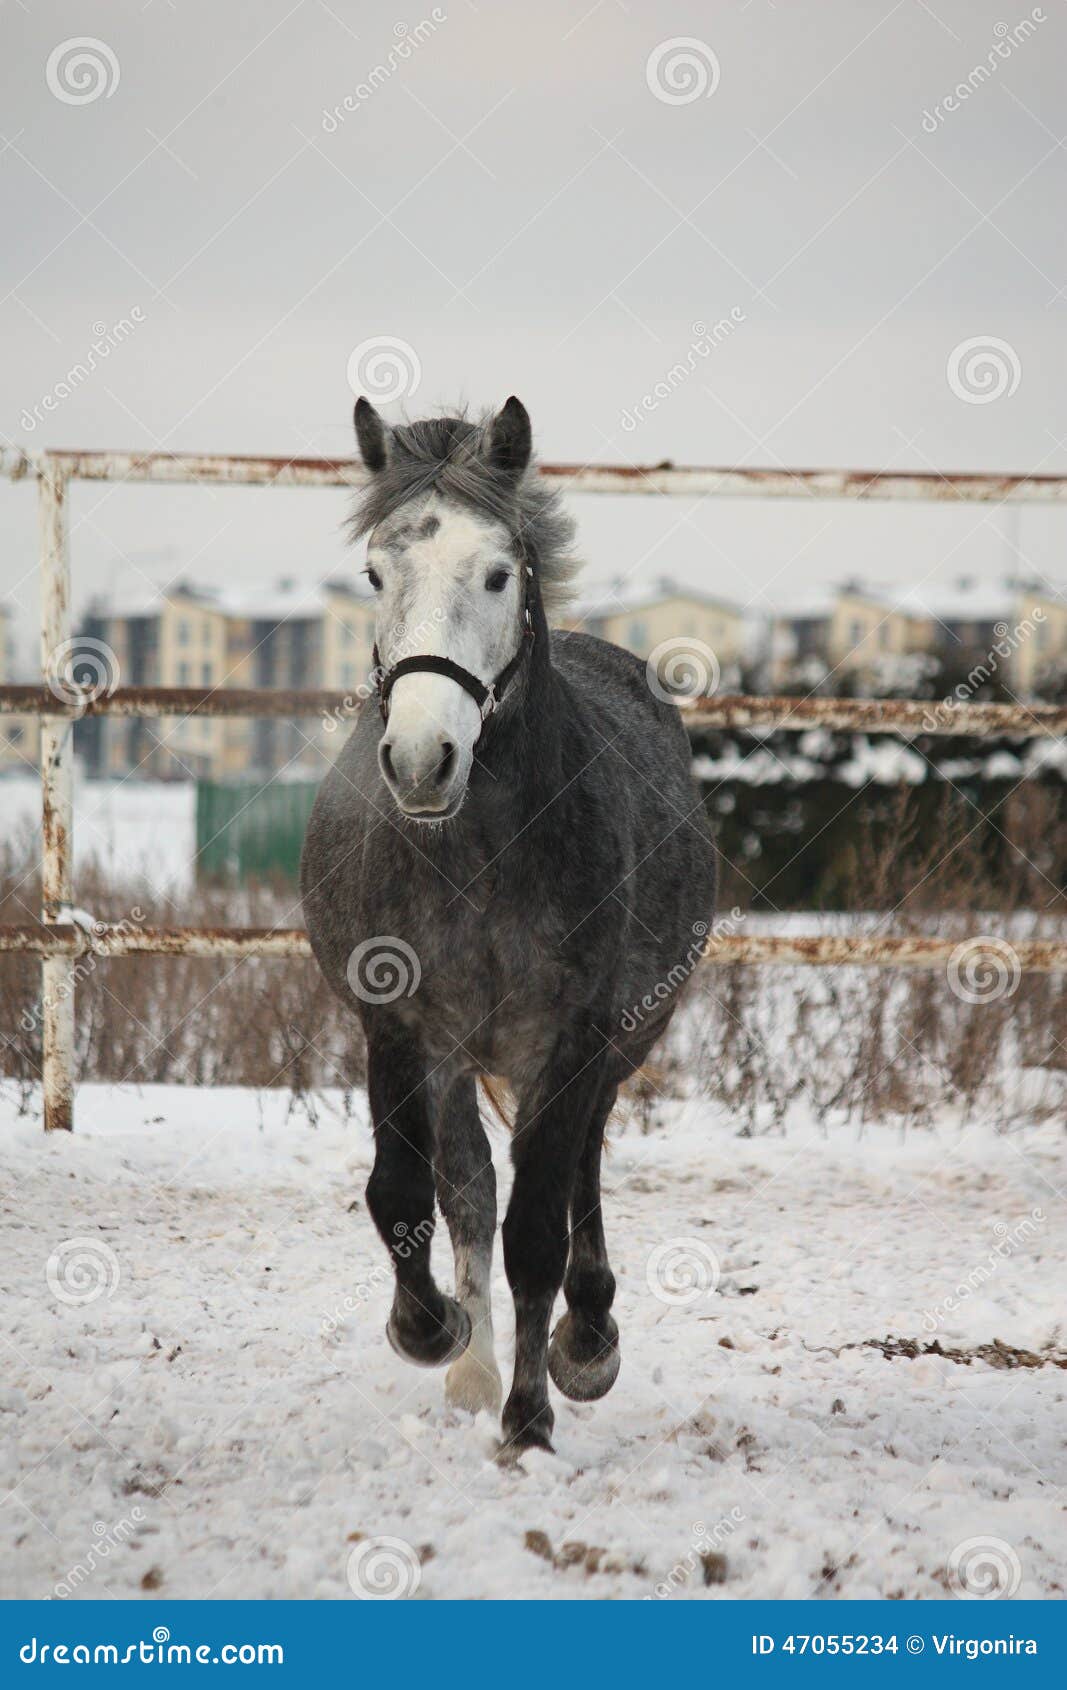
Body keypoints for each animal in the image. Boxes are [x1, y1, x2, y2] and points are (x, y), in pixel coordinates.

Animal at [300, 396, 717, 1457]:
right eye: (375, 573)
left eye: (497, 572)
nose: (421, 759)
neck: (481, 854)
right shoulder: (398, 1030)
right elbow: (408, 1197)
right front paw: (433, 1331)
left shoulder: (572, 1038)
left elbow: (538, 1228)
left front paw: (530, 1419)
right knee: (471, 1188)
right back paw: (473, 1367)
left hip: (610, 1044)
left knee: (576, 1174)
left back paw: (585, 1343)